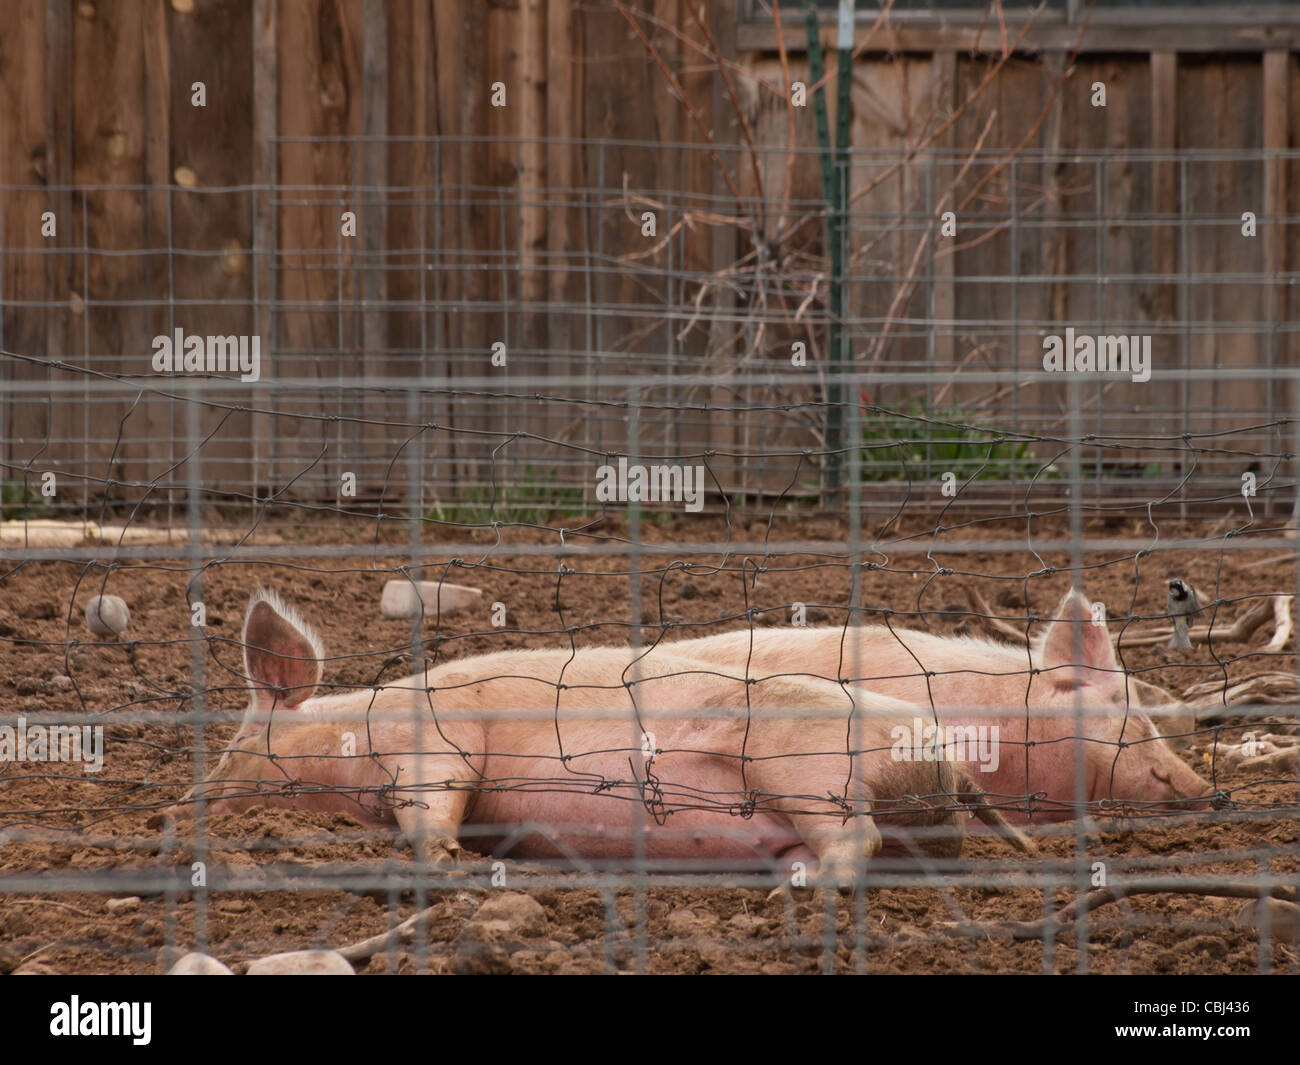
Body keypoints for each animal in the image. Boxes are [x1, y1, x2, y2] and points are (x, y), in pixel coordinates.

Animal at [167, 590, 1033, 889]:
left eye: (234, 742)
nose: (175, 808)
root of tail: (949, 761)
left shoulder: (442, 748)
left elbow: (433, 806)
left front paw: (433, 857)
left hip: (802, 765)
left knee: (858, 839)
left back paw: (797, 892)